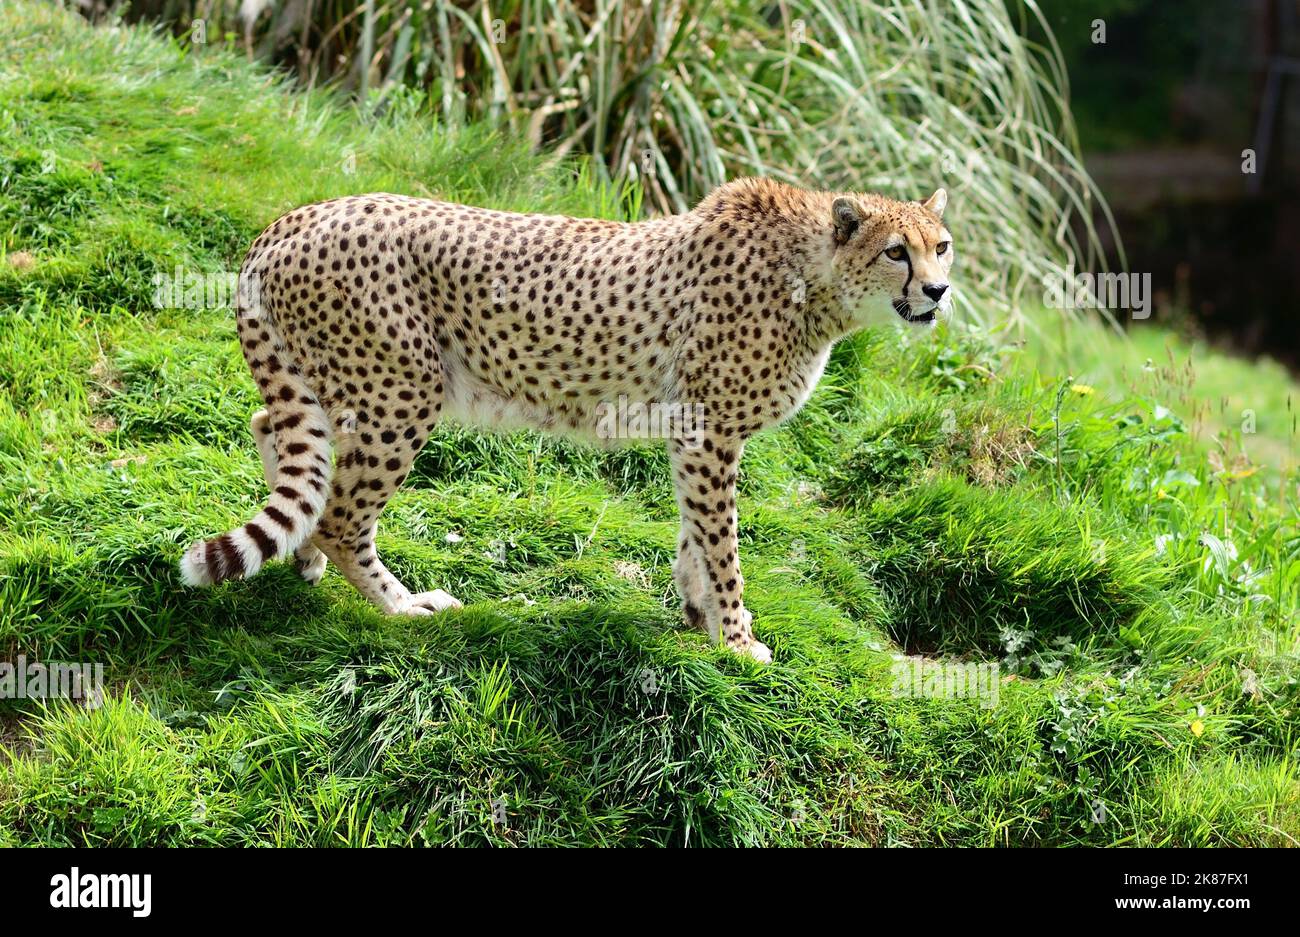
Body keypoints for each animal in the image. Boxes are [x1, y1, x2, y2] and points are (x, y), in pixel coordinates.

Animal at [180, 175, 956, 657]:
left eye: (941, 246)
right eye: (897, 251)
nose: (939, 291)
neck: (815, 279)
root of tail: (292, 218)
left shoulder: (692, 434)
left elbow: (694, 534)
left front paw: (697, 616)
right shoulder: (710, 430)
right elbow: (724, 546)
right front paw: (738, 640)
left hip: (334, 386)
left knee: (276, 436)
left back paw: (303, 554)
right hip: (403, 390)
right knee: (342, 514)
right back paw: (400, 604)